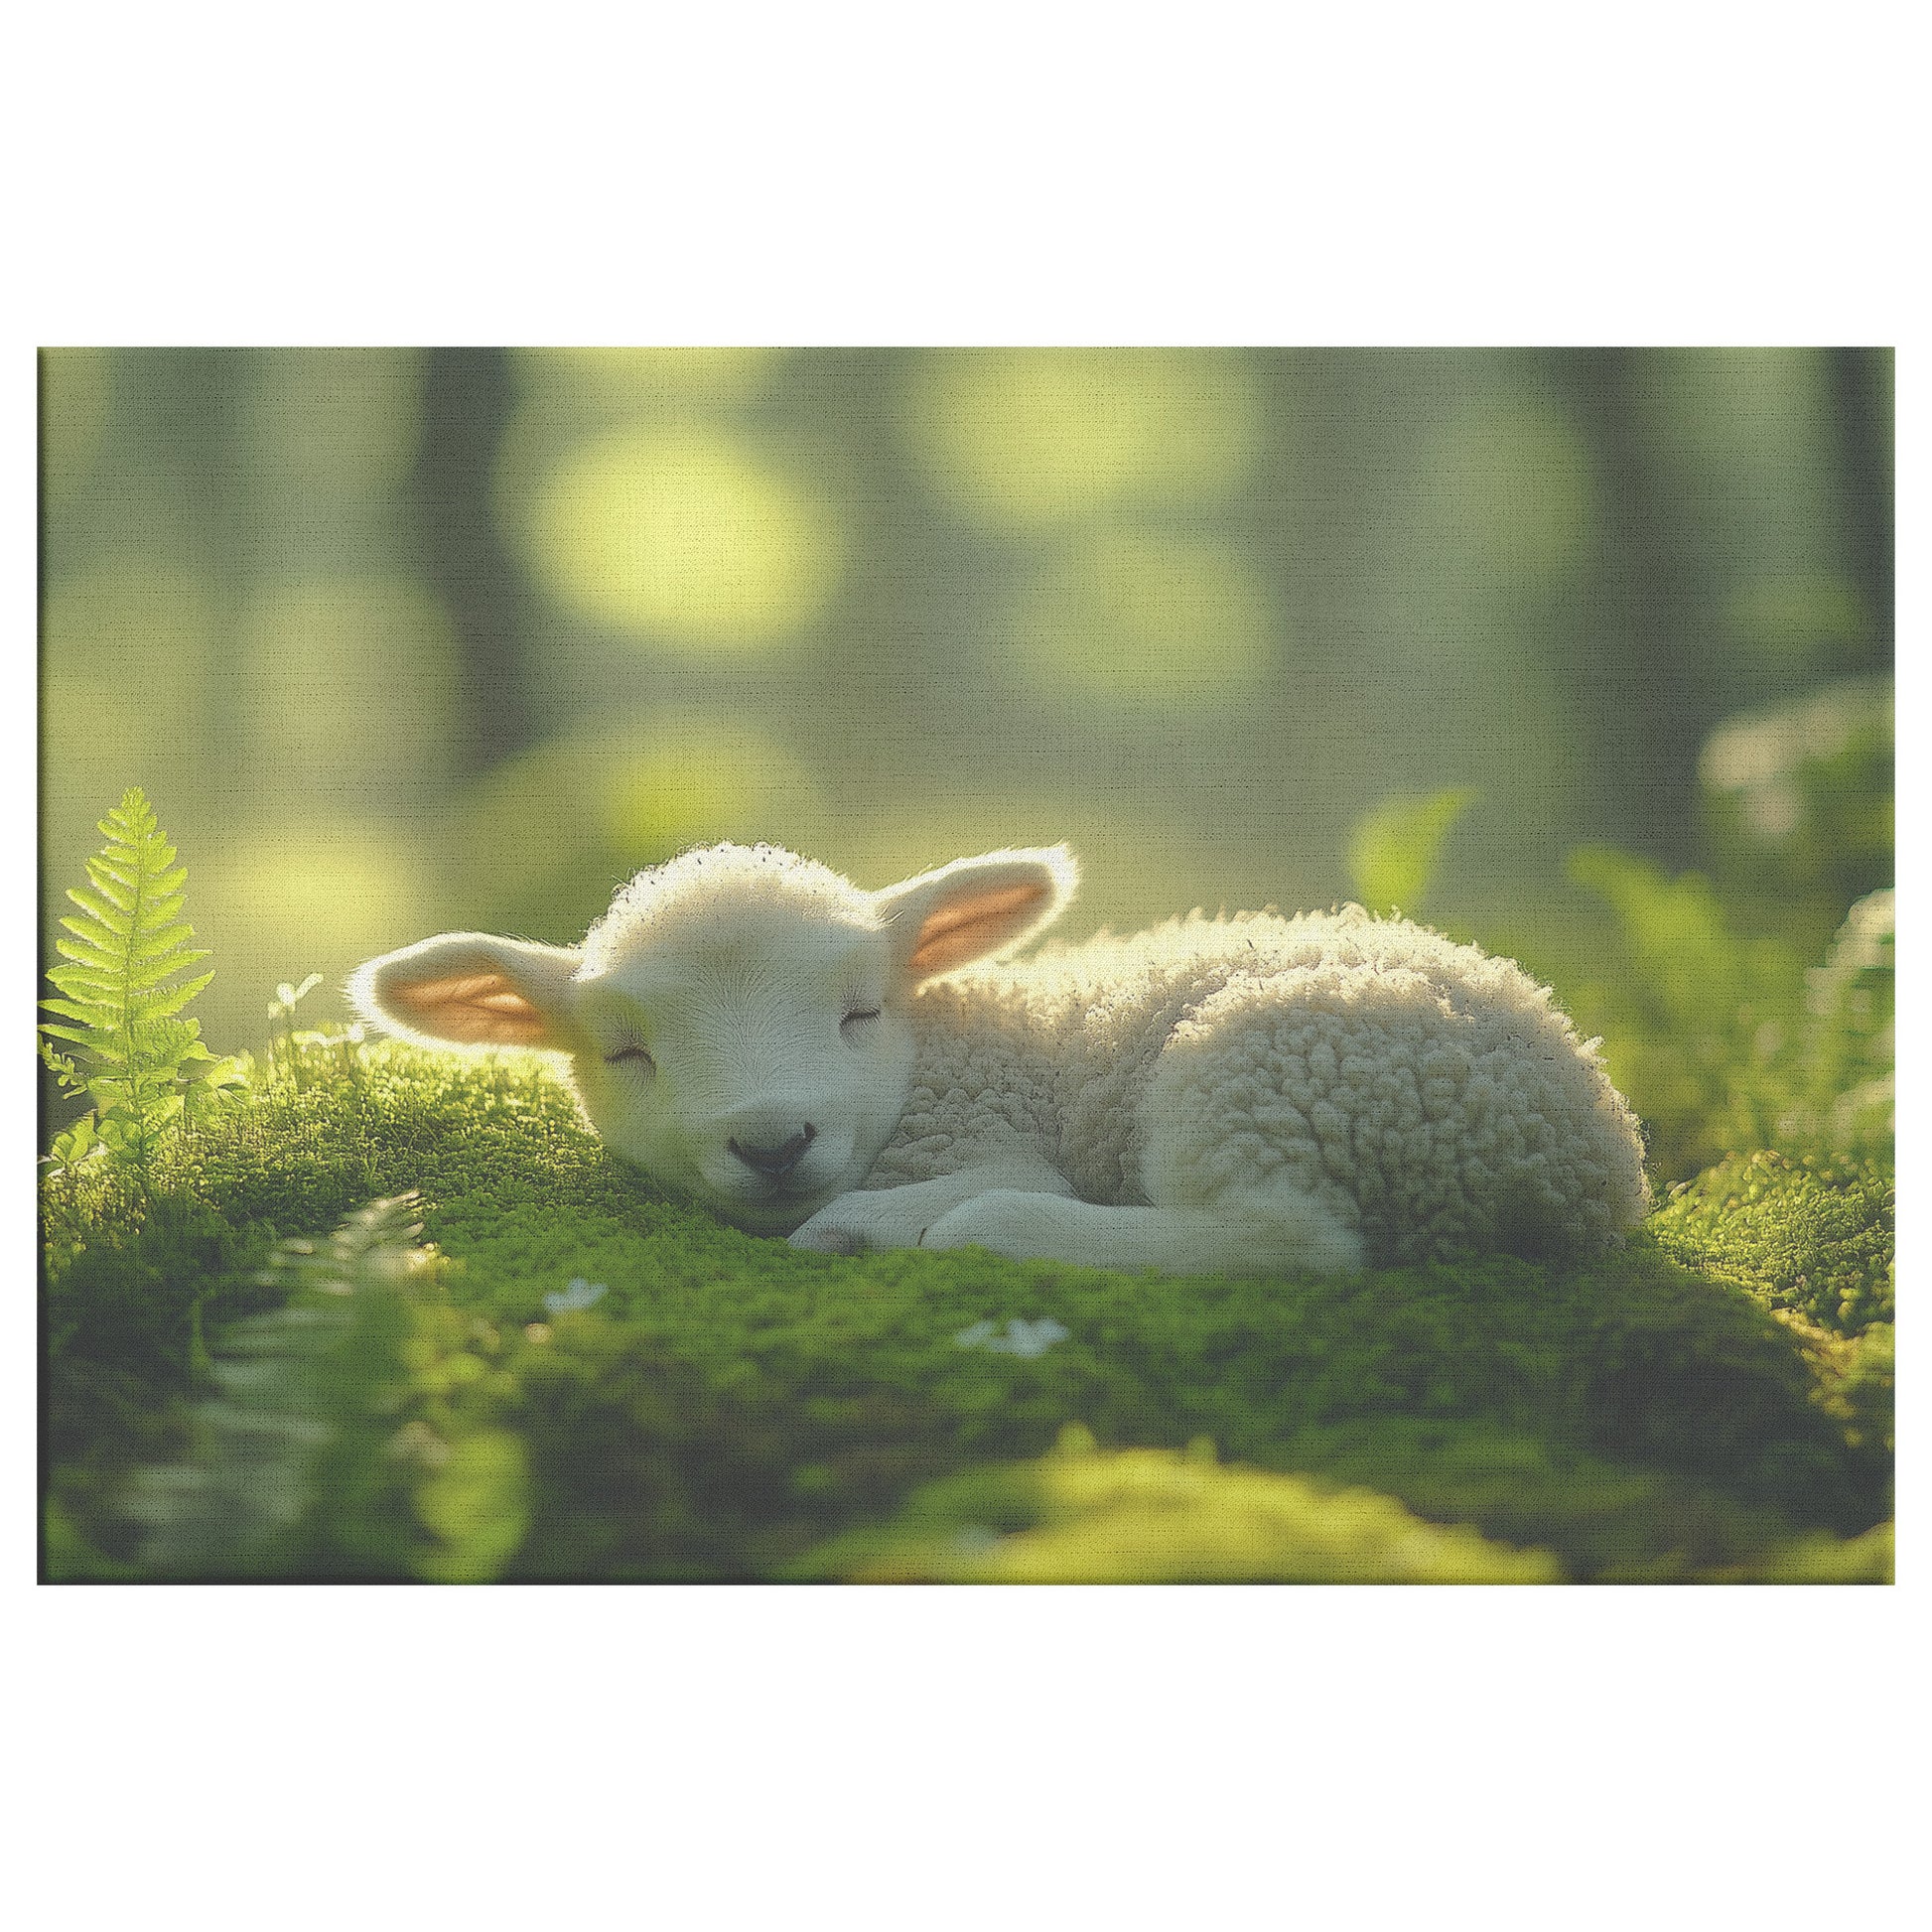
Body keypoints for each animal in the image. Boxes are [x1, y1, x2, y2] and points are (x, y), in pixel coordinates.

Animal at [348, 842, 1650, 1277]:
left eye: (860, 1012)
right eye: (626, 1052)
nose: (773, 1141)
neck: (946, 1045)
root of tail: (1587, 1153)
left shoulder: (993, 1134)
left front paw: (861, 1219)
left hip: (1267, 1066)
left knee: (1289, 1238)